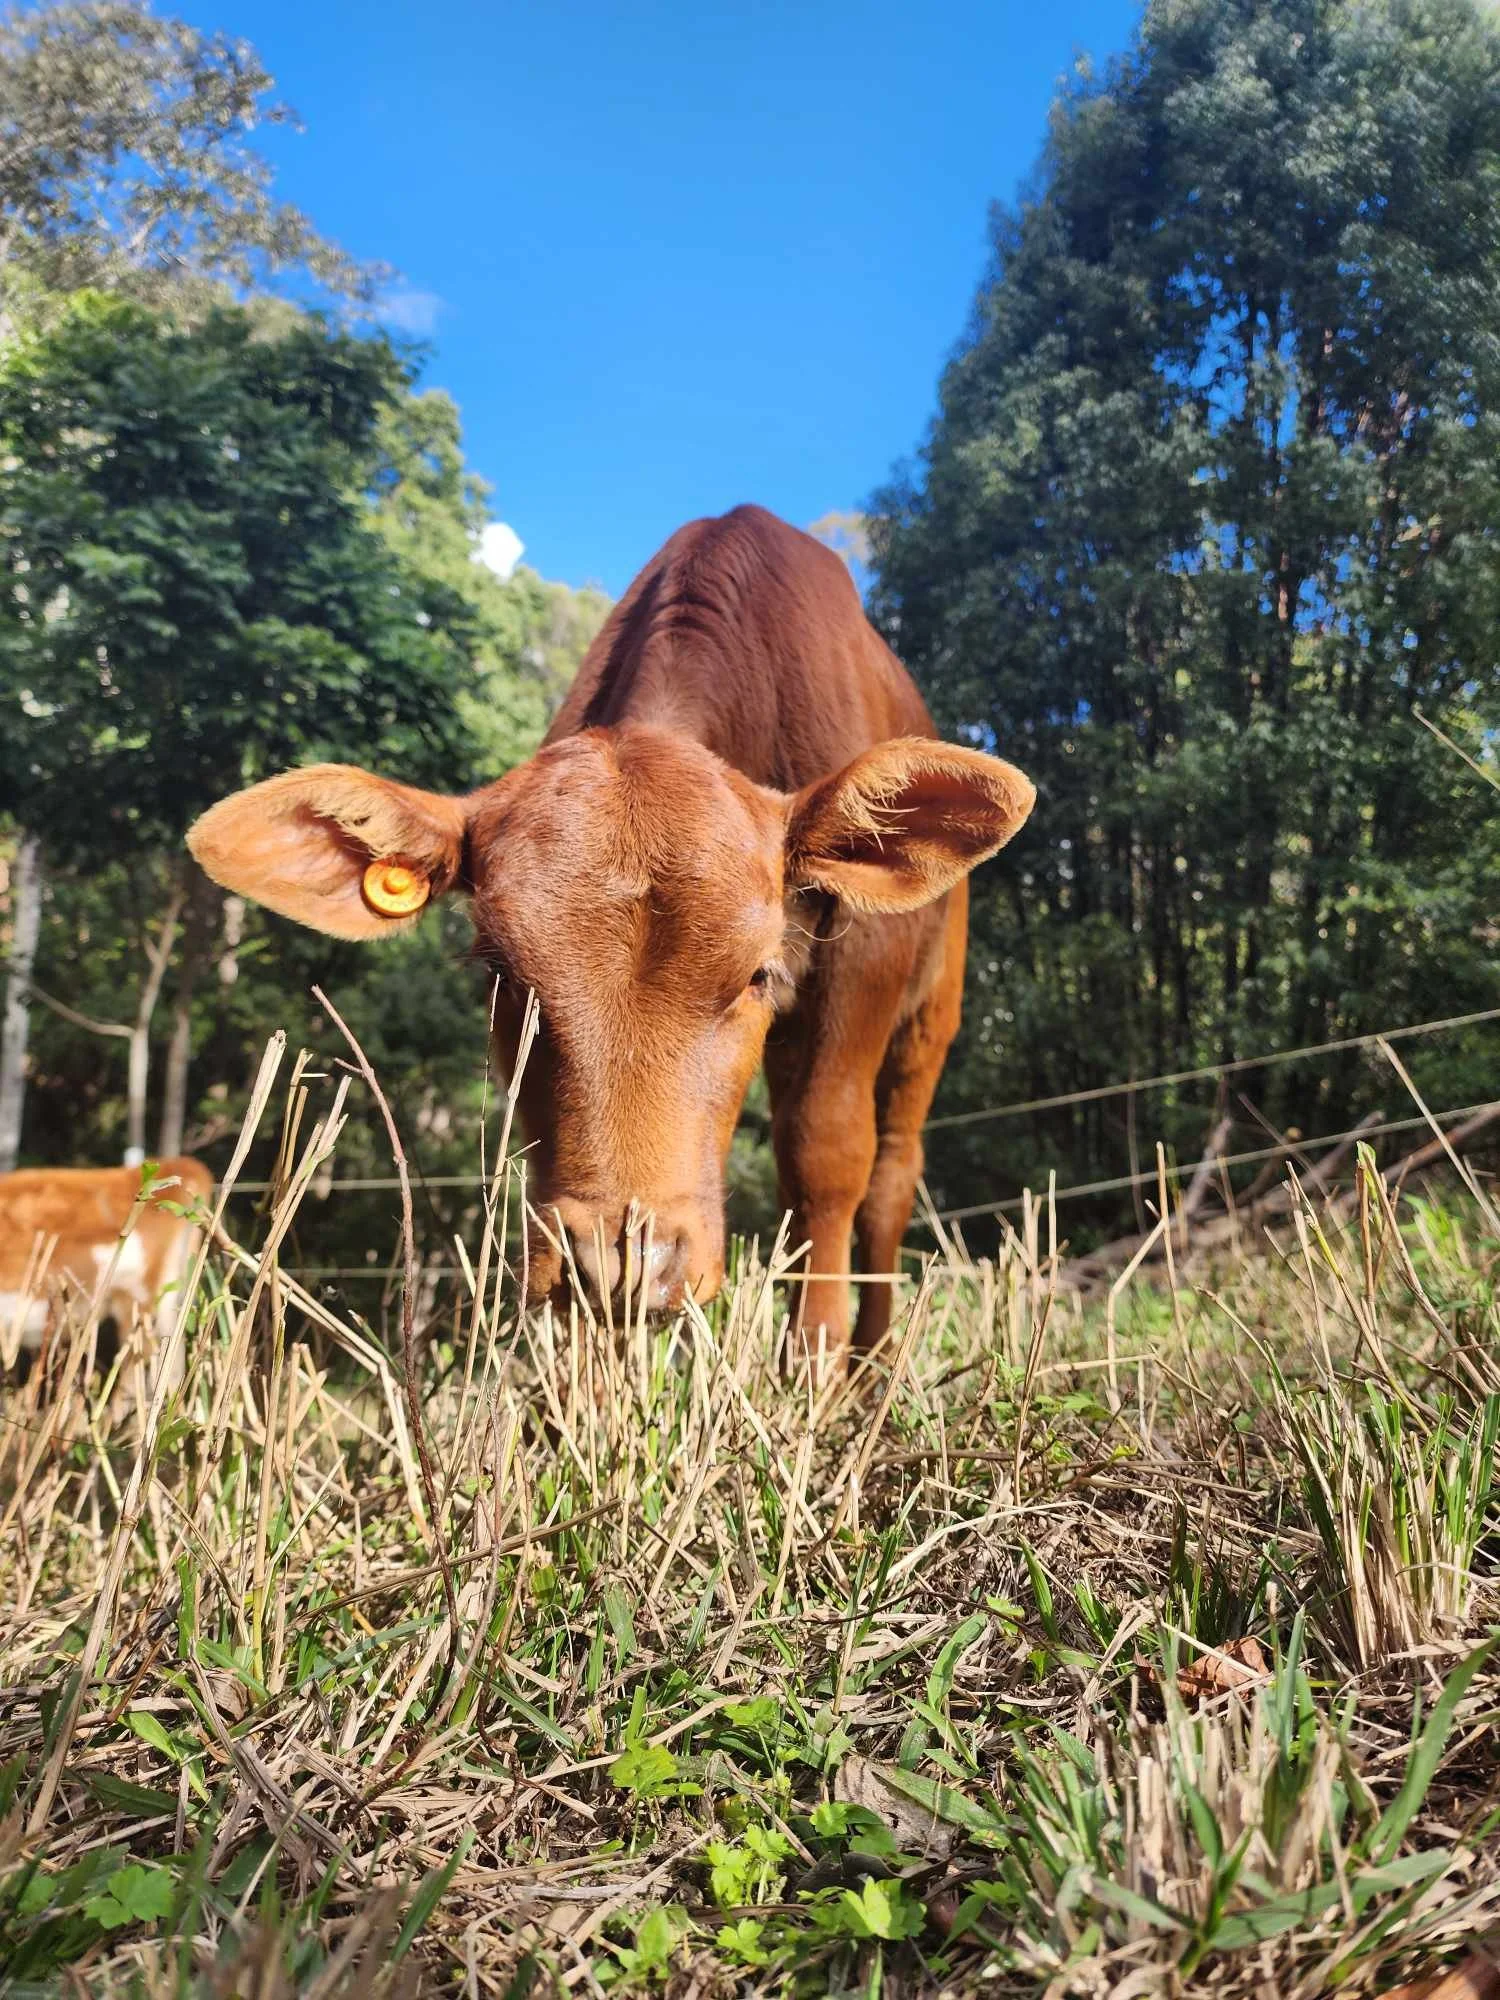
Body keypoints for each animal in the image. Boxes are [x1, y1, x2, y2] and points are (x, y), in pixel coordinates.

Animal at [186, 506, 1034, 1375]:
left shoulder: (860, 970)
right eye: (500, 974)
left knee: (891, 1175)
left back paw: (872, 1360)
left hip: (932, 1011)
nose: (627, 1257)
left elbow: (827, 1157)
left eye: (757, 974)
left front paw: (816, 1362)